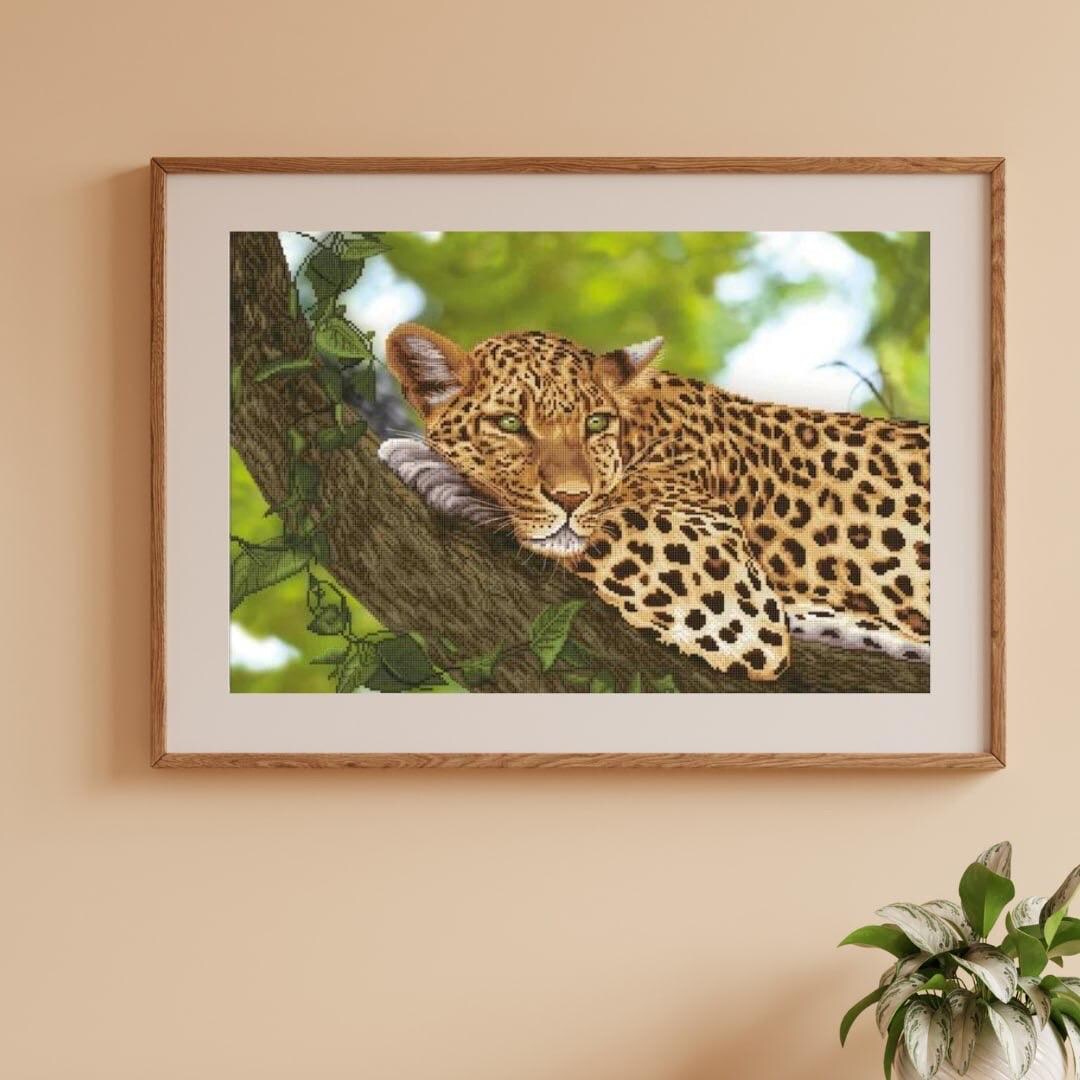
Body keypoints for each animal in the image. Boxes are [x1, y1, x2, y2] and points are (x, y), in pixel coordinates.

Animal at [378, 323, 930, 682]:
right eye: (510, 424)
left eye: (595, 423)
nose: (571, 497)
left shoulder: (721, 566)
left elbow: (603, 523)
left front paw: (435, 470)